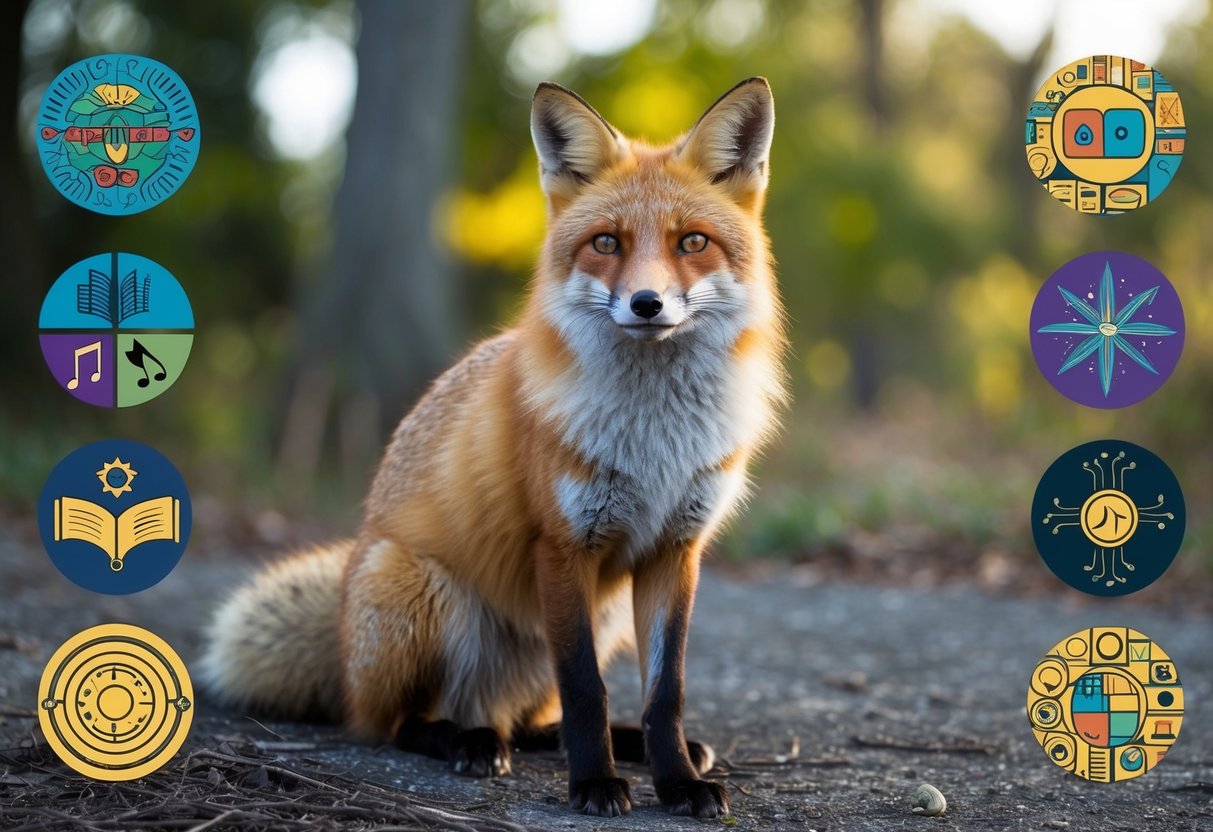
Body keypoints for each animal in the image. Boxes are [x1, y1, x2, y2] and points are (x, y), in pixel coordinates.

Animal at [199, 77, 787, 818]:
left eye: (692, 242)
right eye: (606, 242)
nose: (647, 303)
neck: (654, 441)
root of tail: (343, 649)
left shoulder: (675, 551)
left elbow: (664, 693)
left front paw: (676, 779)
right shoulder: (562, 546)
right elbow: (586, 690)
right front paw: (594, 785)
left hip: (599, 619)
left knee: (532, 719)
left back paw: (565, 739)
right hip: (423, 590)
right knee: (398, 724)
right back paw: (467, 742)